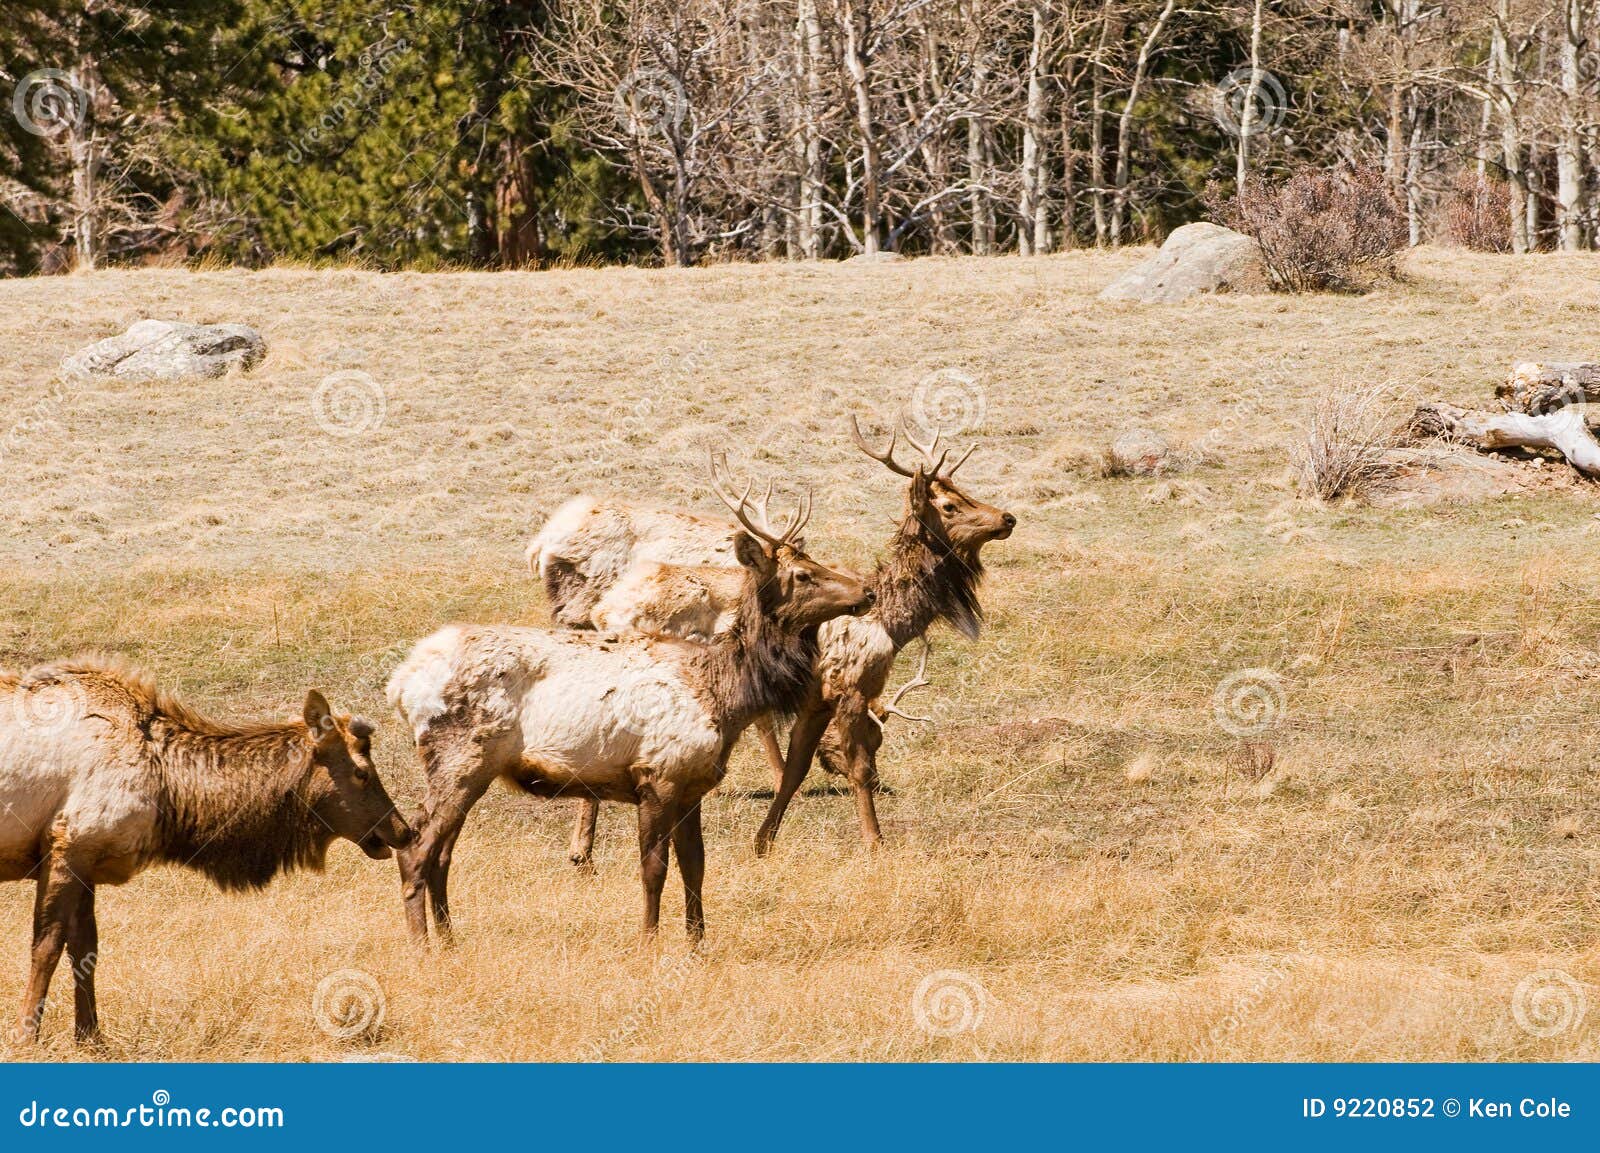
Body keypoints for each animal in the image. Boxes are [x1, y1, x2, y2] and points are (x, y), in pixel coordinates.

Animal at [0, 658, 414, 1044]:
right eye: (362, 772)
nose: (402, 830)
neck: (169, 791)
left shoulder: (89, 861)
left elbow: (85, 951)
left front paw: (91, 1037)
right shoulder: (68, 844)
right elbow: (46, 947)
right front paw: (25, 1036)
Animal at [387, 455, 875, 944]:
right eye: (803, 575)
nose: (866, 591)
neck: (727, 695)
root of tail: (402, 682)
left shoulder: (691, 784)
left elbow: (695, 867)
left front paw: (697, 944)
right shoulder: (657, 776)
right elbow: (653, 870)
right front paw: (649, 942)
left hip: (472, 769)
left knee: (441, 855)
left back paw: (449, 941)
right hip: (460, 759)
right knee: (416, 849)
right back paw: (423, 946)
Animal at [561, 416, 1015, 865]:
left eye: (965, 491)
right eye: (950, 506)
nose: (1007, 518)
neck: (892, 623)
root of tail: (603, 611)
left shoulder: (817, 700)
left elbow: (796, 769)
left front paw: (763, 841)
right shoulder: (849, 686)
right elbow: (858, 767)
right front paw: (875, 841)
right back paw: (581, 851)